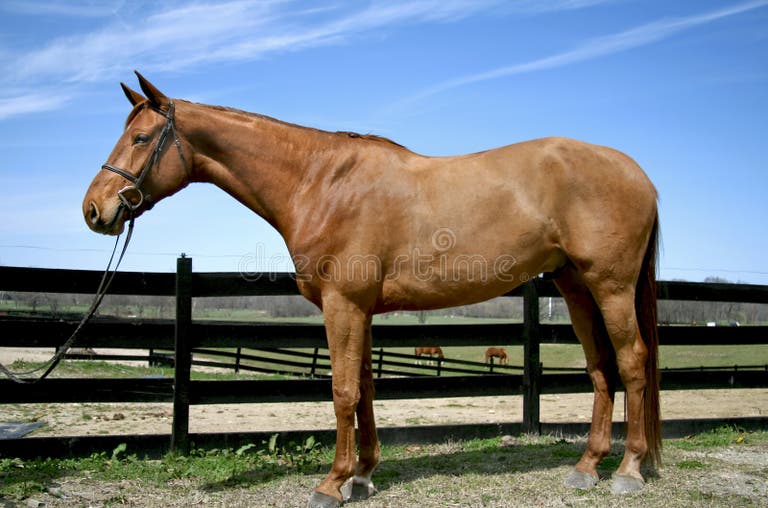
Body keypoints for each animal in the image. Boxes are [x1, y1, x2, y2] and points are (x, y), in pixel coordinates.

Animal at [83, 73, 660, 507]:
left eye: (140, 139)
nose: (95, 209)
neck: (321, 181)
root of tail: (639, 174)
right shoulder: (358, 310)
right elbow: (364, 389)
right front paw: (362, 475)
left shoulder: (343, 306)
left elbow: (341, 392)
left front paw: (331, 484)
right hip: (575, 288)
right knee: (601, 369)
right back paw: (587, 466)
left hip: (610, 287)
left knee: (632, 361)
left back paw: (629, 469)